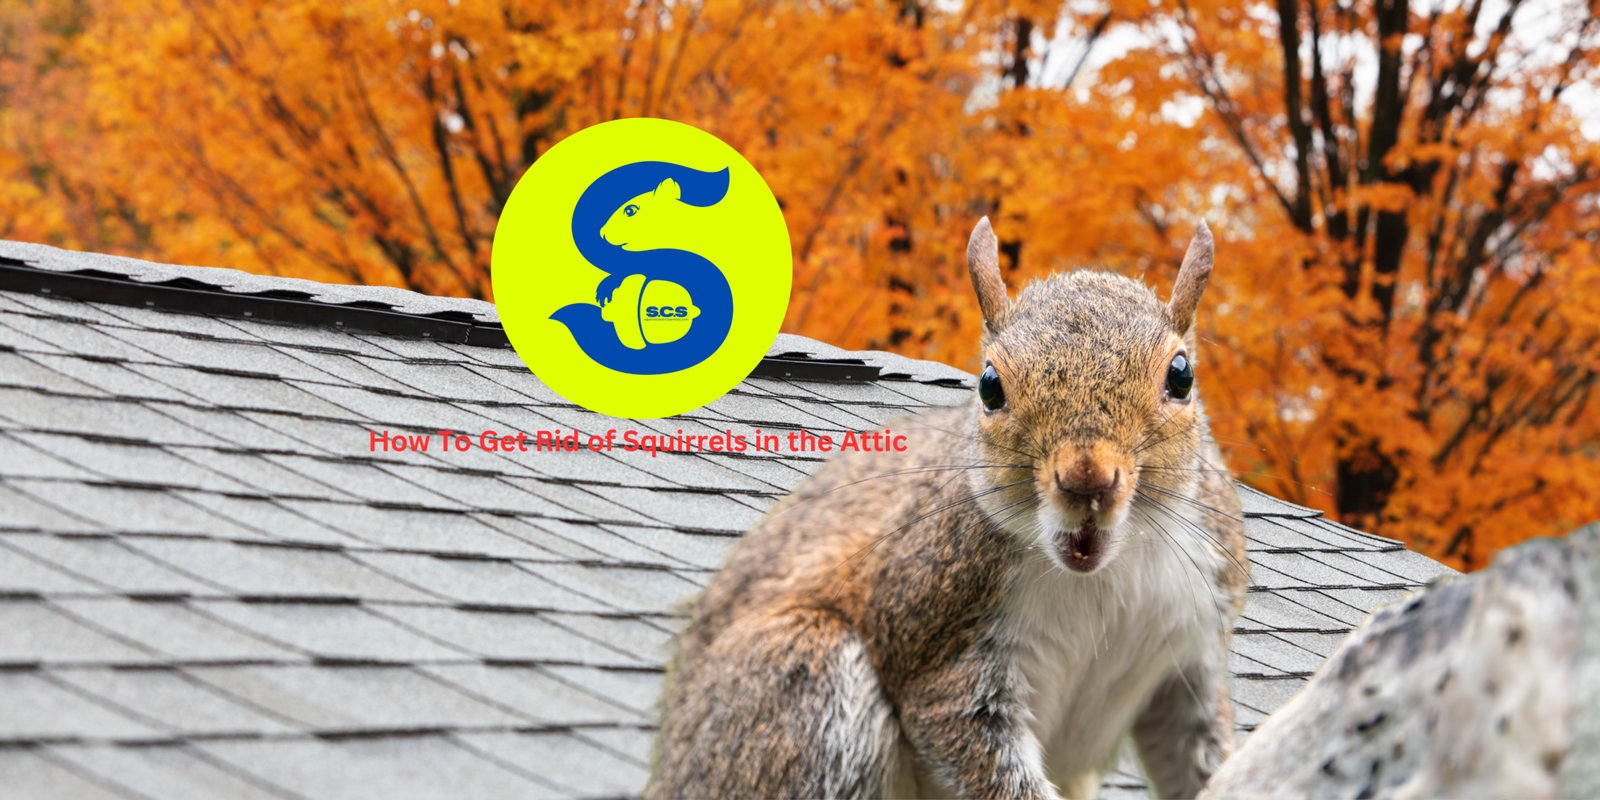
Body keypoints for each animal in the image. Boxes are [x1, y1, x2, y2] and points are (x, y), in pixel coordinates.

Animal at [645, 217, 1249, 800]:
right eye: (989, 387)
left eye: (1181, 376)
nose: (1086, 479)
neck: (1108, 574)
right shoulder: (943, 635)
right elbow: (969, 736)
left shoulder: (1191, 658)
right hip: (803, 685)